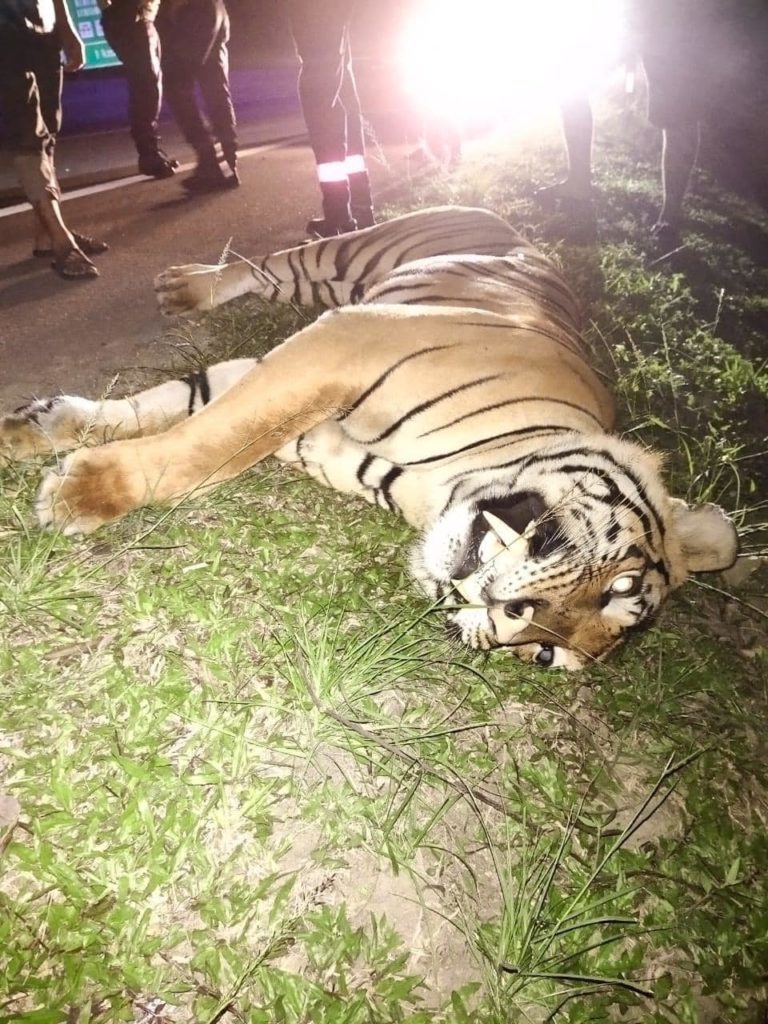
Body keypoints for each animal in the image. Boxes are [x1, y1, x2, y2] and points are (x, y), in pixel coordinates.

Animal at [0, 206, 738, 669]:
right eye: (617, 586)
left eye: (544, 654)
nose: (510, 611)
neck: (445, 481)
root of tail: (512, 225)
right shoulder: (344, 342)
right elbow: (211, 441)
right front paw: (82, 491)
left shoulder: (313, 409)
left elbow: (191, 410)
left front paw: (42, 430)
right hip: (343, 255)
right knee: (264, 265)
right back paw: (184, 287)